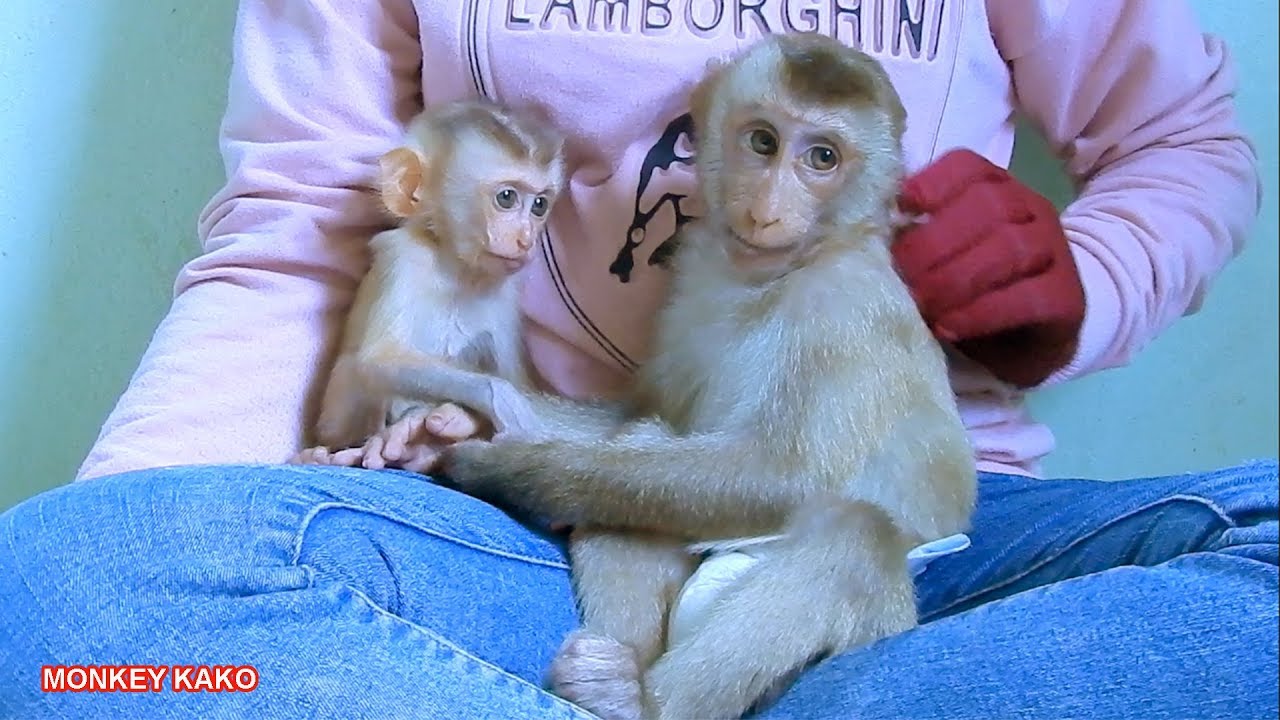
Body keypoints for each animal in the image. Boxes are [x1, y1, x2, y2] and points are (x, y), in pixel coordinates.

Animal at [292, 100, 567, 471]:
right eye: (507, 198)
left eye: (540, 205)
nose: (526, 240)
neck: (457, 271)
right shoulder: (405, 260)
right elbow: (380, 359)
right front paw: (502, 400)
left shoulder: (507, 292)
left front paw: (455, 421)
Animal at [435, 33, 978, 720]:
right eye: (764, 141)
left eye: (822, 157)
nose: (767, 212)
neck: (771, 278)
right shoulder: (691, 277)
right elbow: (646, 412)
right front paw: (453, 421)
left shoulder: (844, 310)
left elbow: (784, 479)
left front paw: (509, 469)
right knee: (639, 455)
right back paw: (614, 678)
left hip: (879, 624)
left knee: (856, 535)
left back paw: (640, 704)